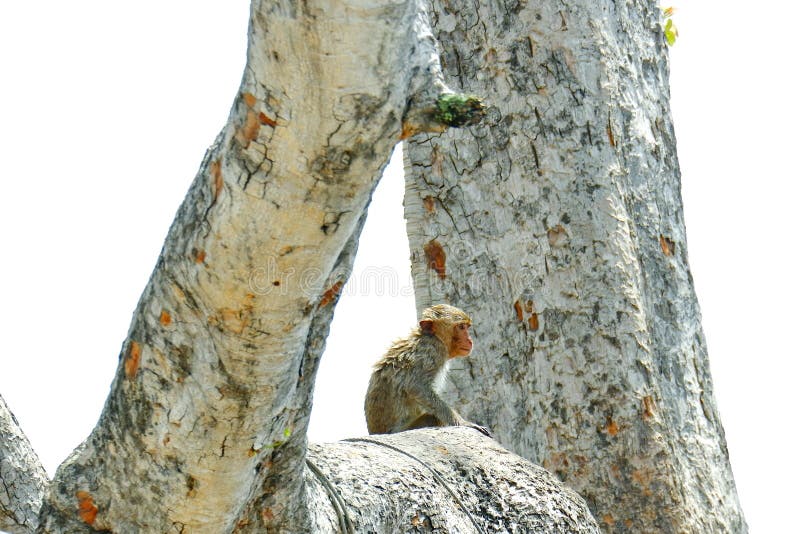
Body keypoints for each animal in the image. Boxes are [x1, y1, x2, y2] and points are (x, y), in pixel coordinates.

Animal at [364, 304, 491, 437]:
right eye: (461, 327)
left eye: (466, 327)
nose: (470, 340)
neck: (433, 336)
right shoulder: (433, 350)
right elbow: (417, 387)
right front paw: (464, 423)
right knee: (432, 417)